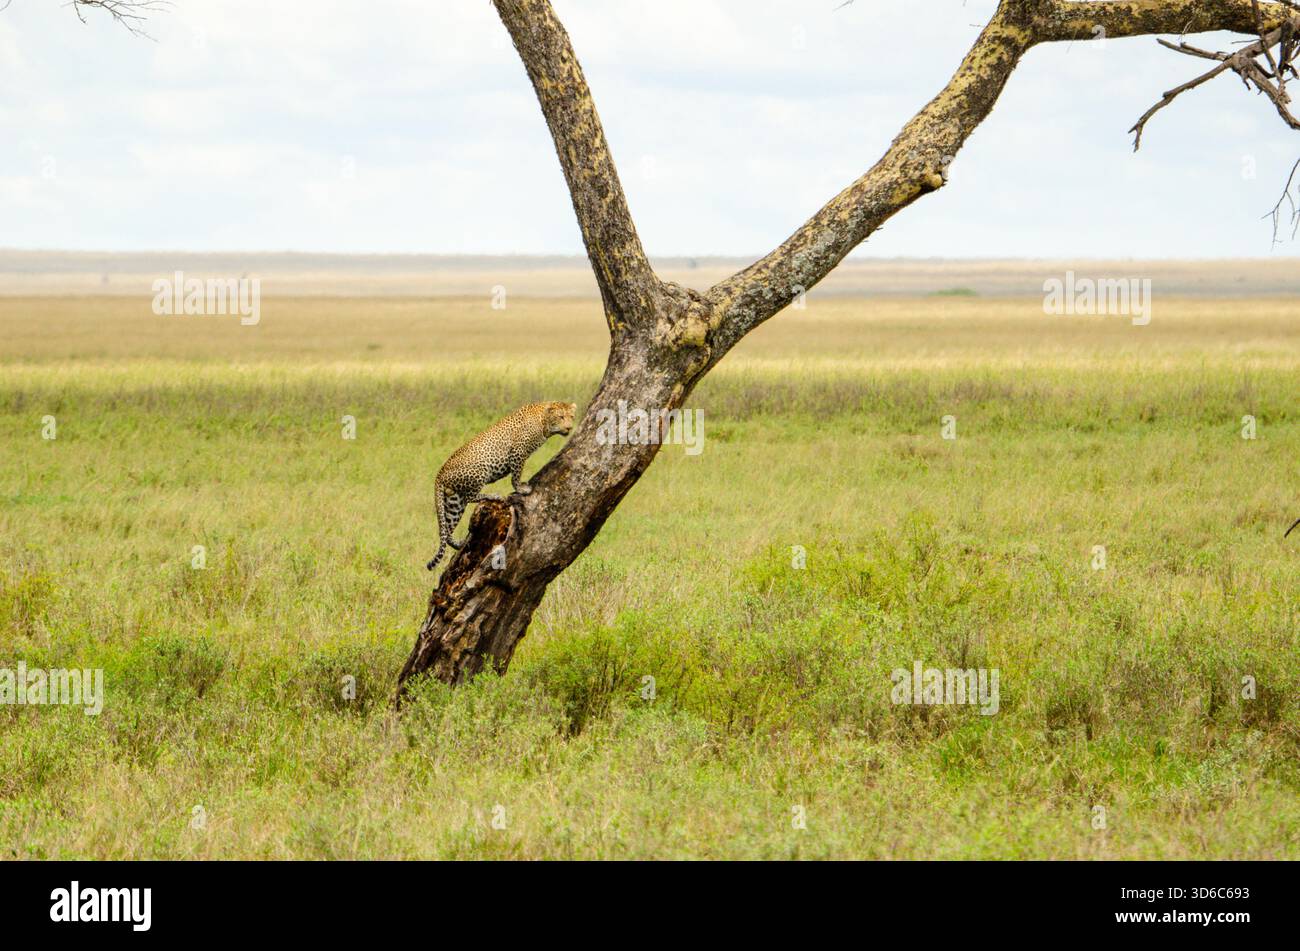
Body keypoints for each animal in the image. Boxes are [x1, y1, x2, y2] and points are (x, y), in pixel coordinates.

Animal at [426, 400, 577, 571]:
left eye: (572, 417)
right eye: (561, 417)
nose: (569, 428)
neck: (543, 422)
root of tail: (439, 473)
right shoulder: (518, 451)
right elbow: (516, 475)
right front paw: (521, 488)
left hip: (454, 502)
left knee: (446, 529)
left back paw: (459, 543)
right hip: (480, 471)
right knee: (470, 497)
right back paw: (494, 495)